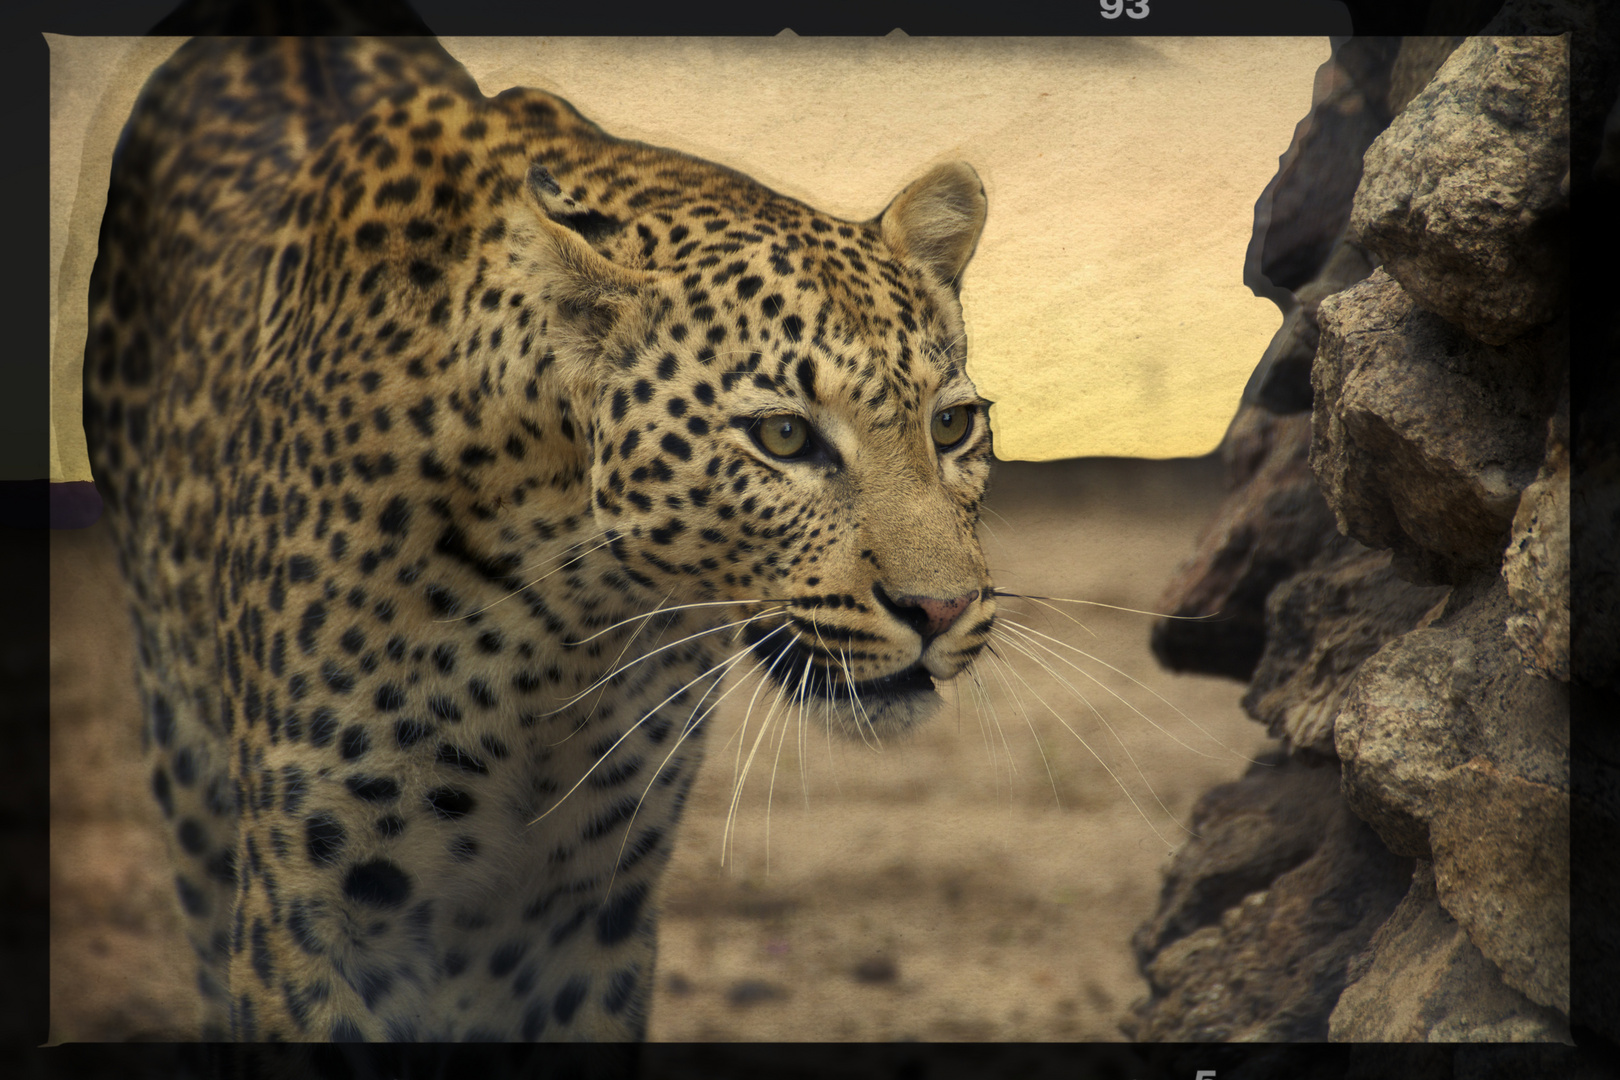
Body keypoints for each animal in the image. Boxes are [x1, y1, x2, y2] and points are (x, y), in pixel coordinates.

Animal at [83, 30, 997, 1042]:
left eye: (953, 427)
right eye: (785, 437)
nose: (941, 609)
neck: (568, 616)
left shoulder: (583, 907)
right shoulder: (316, 906)